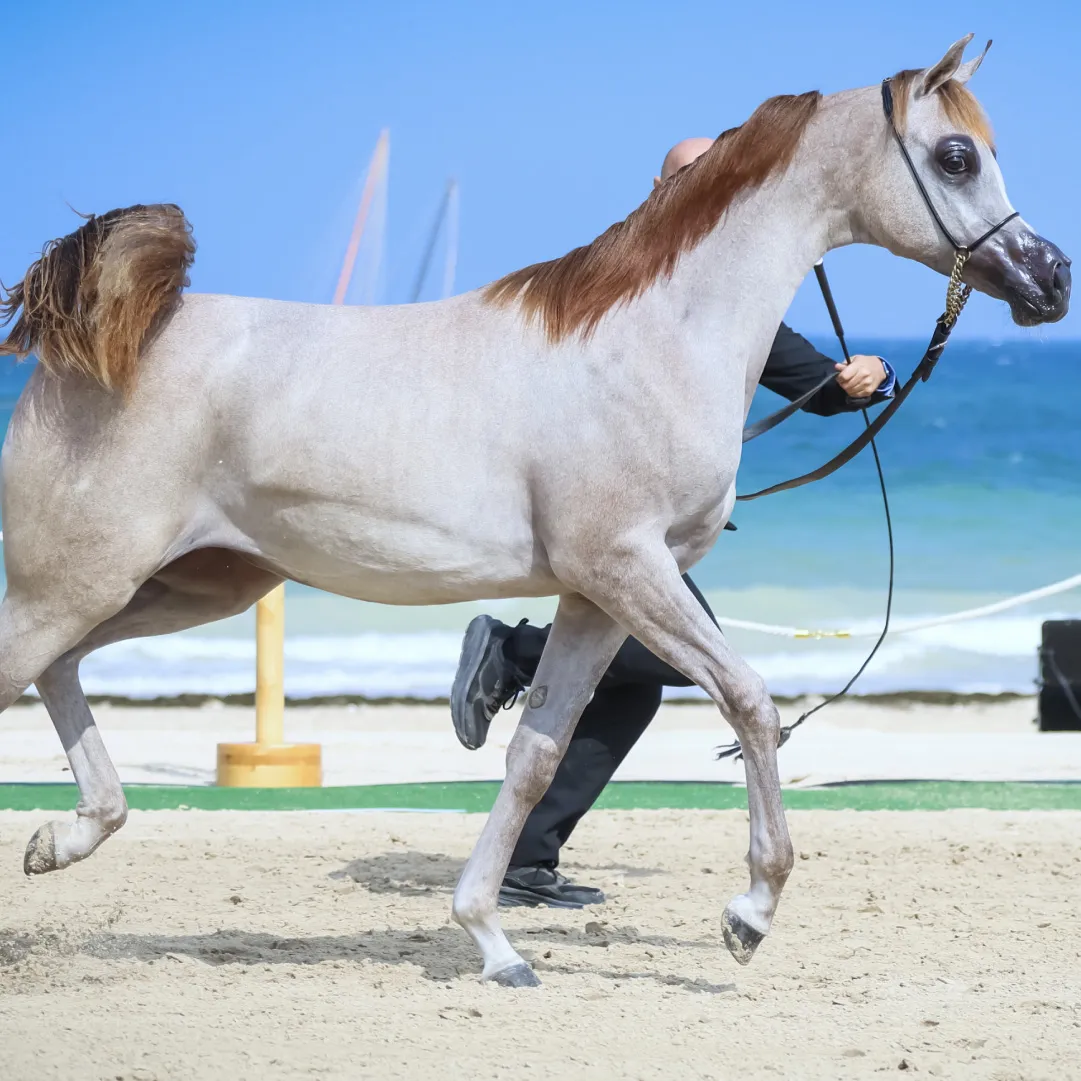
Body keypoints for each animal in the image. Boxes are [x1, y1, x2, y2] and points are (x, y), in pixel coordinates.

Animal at [0, 35, 1069, 987]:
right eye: (956, 154)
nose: (1049, 278)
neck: (650, 339)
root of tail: (88, 343)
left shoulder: (595, 597)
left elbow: (536, 754)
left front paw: (493, 941)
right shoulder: (629, 569)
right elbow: (751, 702)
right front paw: (748, 915)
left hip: (190, 584)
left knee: (61, 668)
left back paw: (62, 838)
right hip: (80, 579)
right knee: (36, 663)